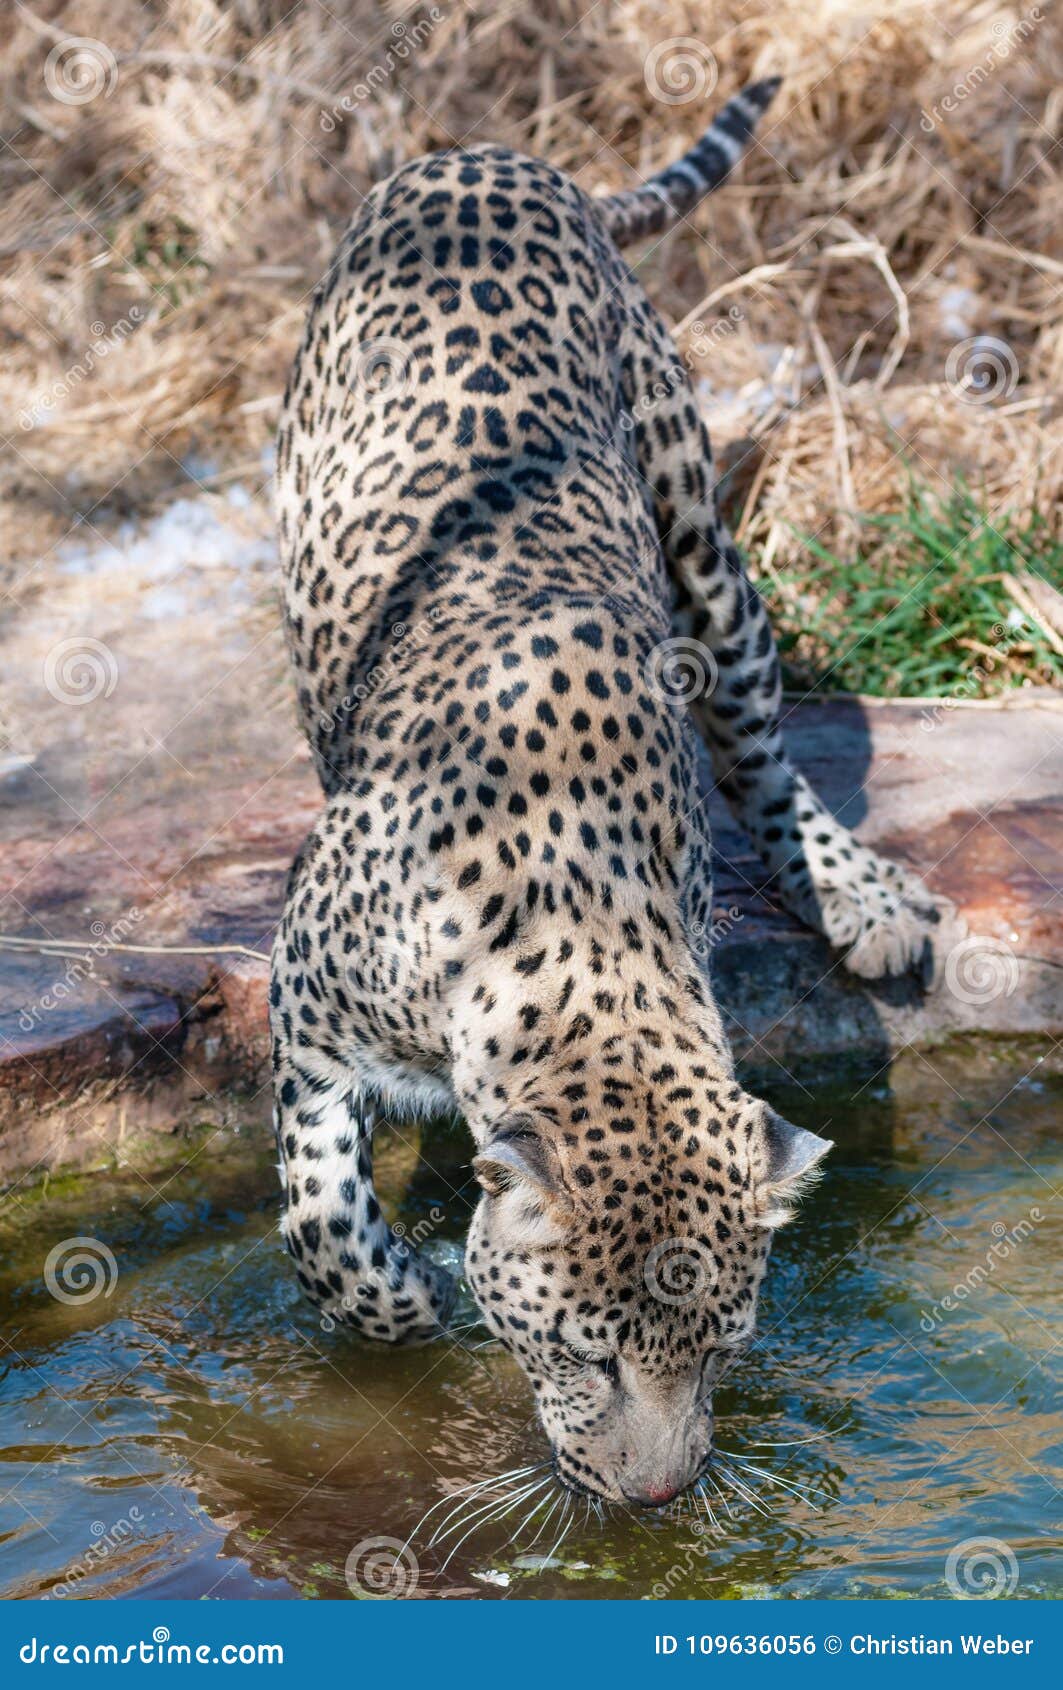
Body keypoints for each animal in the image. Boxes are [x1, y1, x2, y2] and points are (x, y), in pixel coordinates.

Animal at [271, 78, 944, 1507]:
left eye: (724, 1344)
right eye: (585, 1349)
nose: (657, 1496)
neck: (568, 924)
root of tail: (491, 155)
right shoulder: (303, 1008)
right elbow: (322, 1219)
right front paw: (412, 1290)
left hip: (698, 533)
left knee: (759, 741)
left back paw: (861, 894)